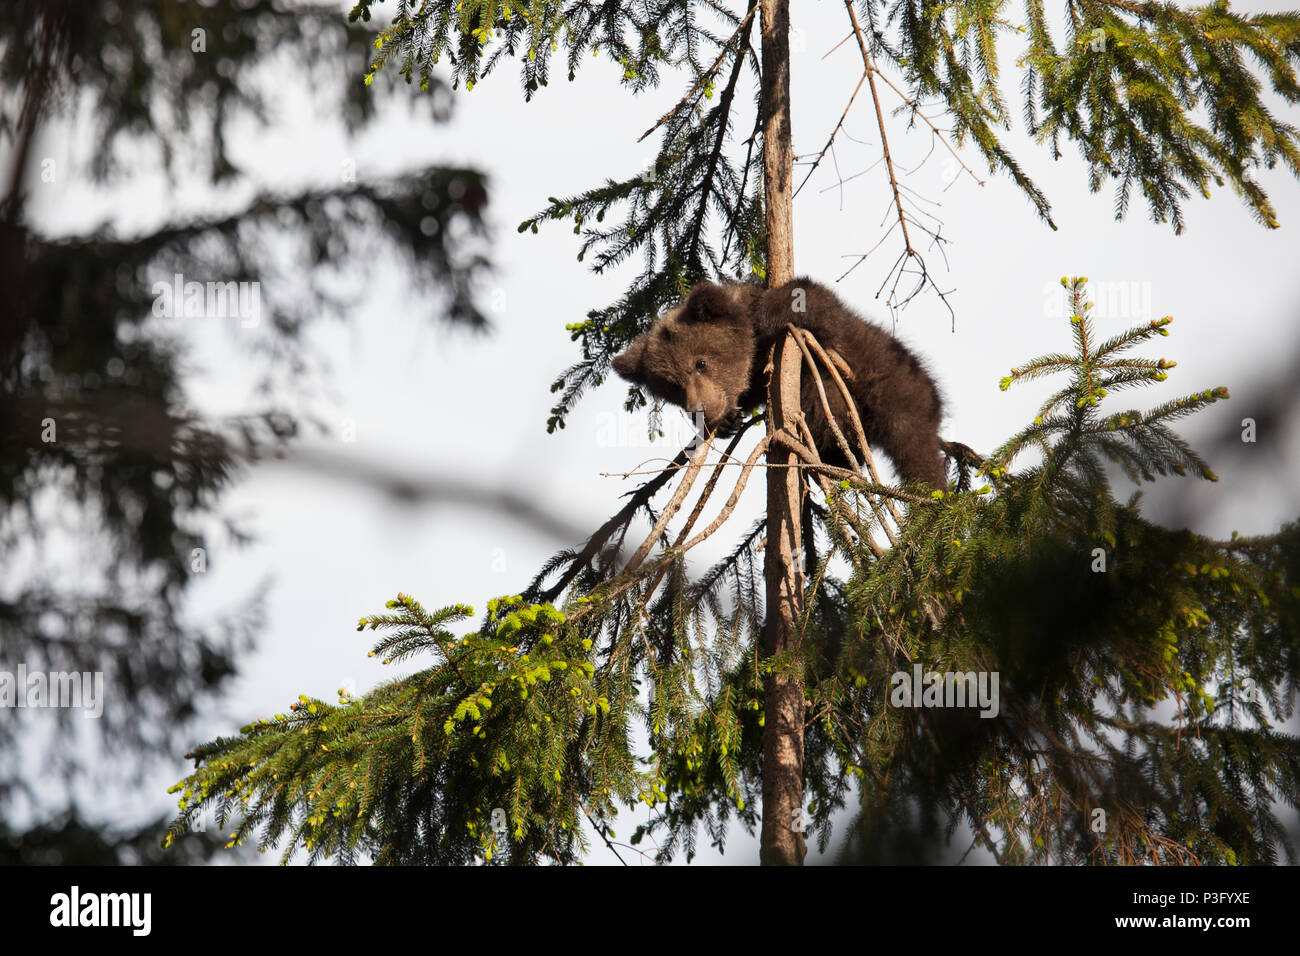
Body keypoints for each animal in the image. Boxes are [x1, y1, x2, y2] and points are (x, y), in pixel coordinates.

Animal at [610, 277, 950, 489]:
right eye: (672, 386)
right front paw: (729, 421)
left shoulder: (828, 338)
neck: (756, 355)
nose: (701, 410)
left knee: (913, 447)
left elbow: (815, 303)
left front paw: (766, 312)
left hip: (896, 387)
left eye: (700, 363)